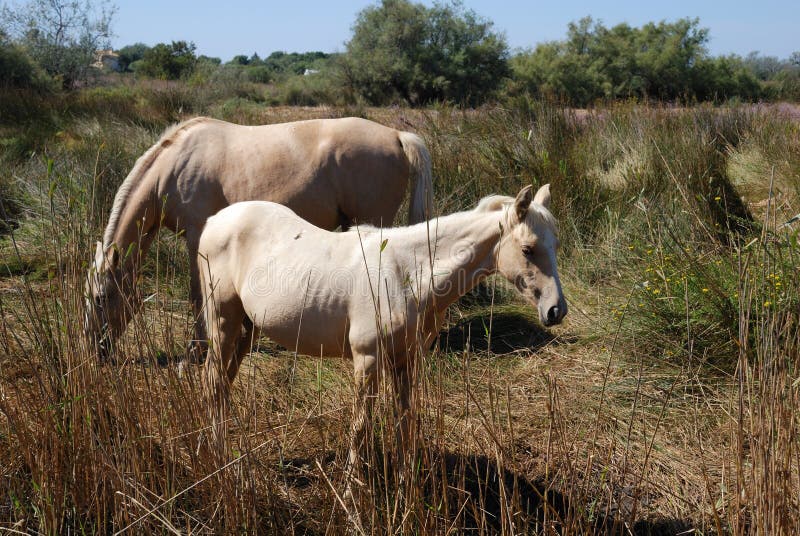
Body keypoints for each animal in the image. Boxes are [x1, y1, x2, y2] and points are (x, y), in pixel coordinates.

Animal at [84, 116, 433, 359]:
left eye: (101, 297)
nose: (95, 350)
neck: (172, 168)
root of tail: (395, 136)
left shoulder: (197, 239)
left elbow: (198, 295)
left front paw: (194, 351)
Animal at [198, 183, 566, 488]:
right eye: (529, 249)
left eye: (555, 245)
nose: (556, 310)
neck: (408, 274)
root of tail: (214, 220)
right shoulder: (367, 360)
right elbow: (361, 424)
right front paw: (352, 490)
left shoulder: (406, 359)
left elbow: (404, 419)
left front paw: (406, 483)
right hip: (223, 321)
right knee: (213, 381)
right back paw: (219, 458)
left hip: (246, 329)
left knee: (222, 384)